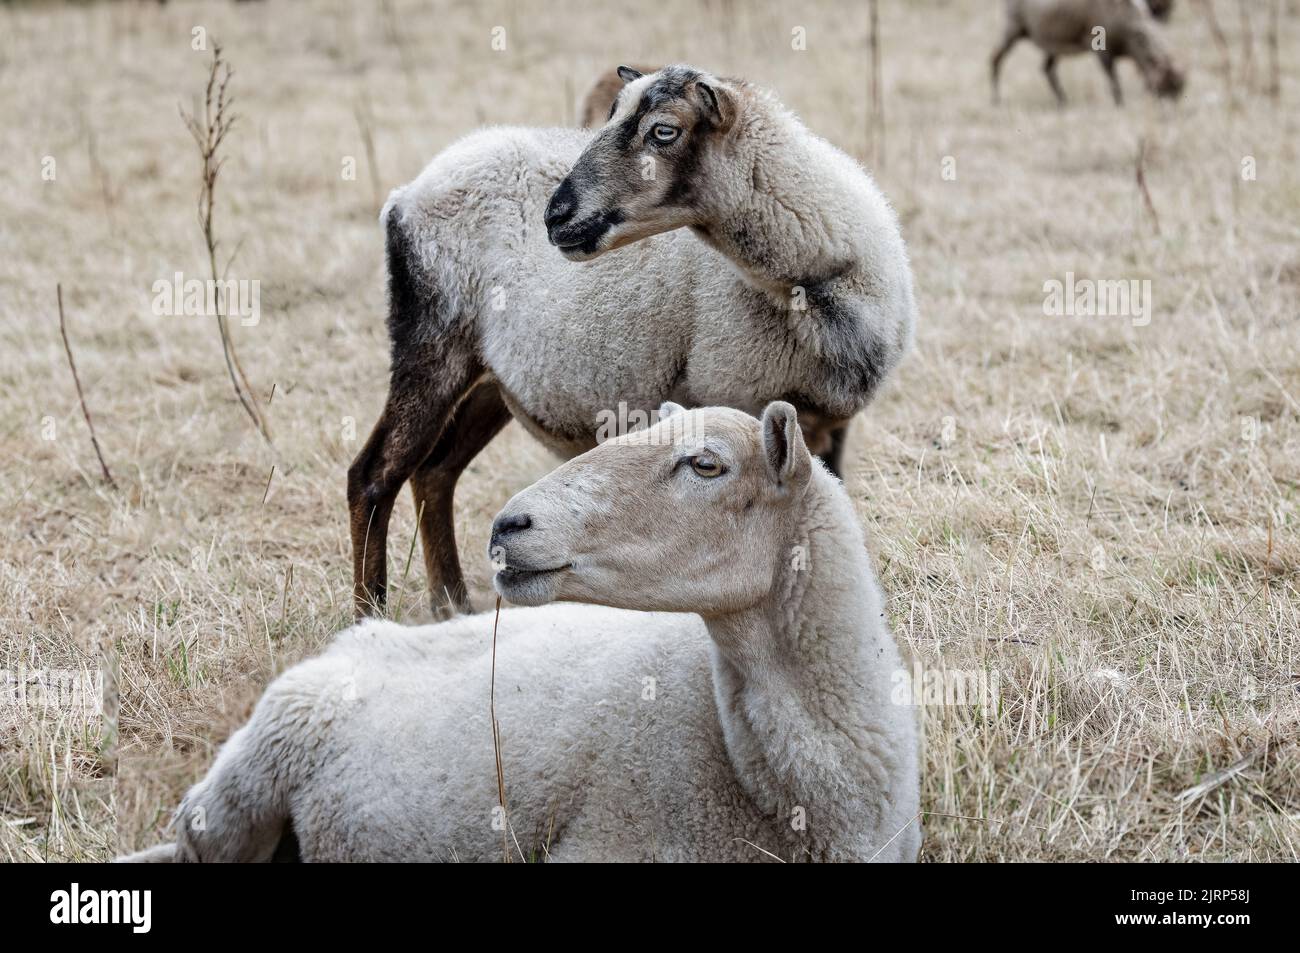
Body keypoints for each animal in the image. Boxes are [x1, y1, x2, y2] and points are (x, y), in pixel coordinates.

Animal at [348, 64, 917, 620]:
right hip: (430, 339)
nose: (555, 217)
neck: (819, 286)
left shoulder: (831, 423)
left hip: (492, 378)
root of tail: (409, 192)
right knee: (373, 475)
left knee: (435, 472)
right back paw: (369, 613)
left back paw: (451, 605)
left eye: (663, 131)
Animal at [991, 0, 1186, 105]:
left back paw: (1063, 102)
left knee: (1047, 69)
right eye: (1166, 86)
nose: (1168, 115)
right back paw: (996, 100)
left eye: (1179, 90)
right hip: (1013, 29)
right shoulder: (1103, 52)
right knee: (995, 60)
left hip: (1054, 44)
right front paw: (1119, 105)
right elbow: (1114, 81)